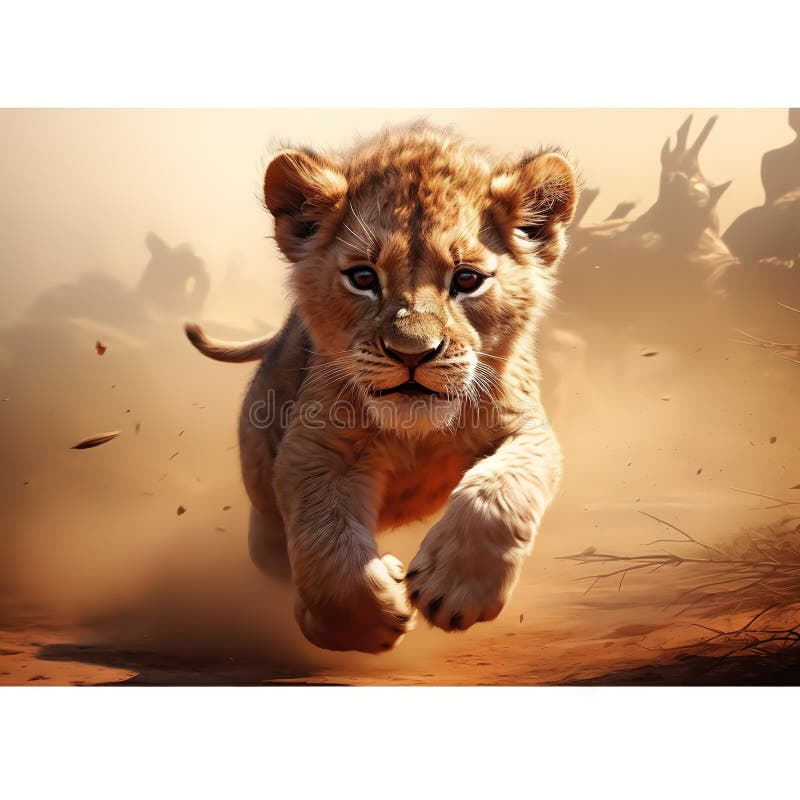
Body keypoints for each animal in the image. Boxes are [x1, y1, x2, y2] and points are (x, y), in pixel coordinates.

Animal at [186, 122, 577, 653]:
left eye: (467, 279)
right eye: (363, 277)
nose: (412, 353)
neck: (417, 435)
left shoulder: (528, 430)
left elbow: (498, 493)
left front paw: (452, 590)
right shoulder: (316, 449)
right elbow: (323, 541)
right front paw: (363, 619)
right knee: (269, 549)